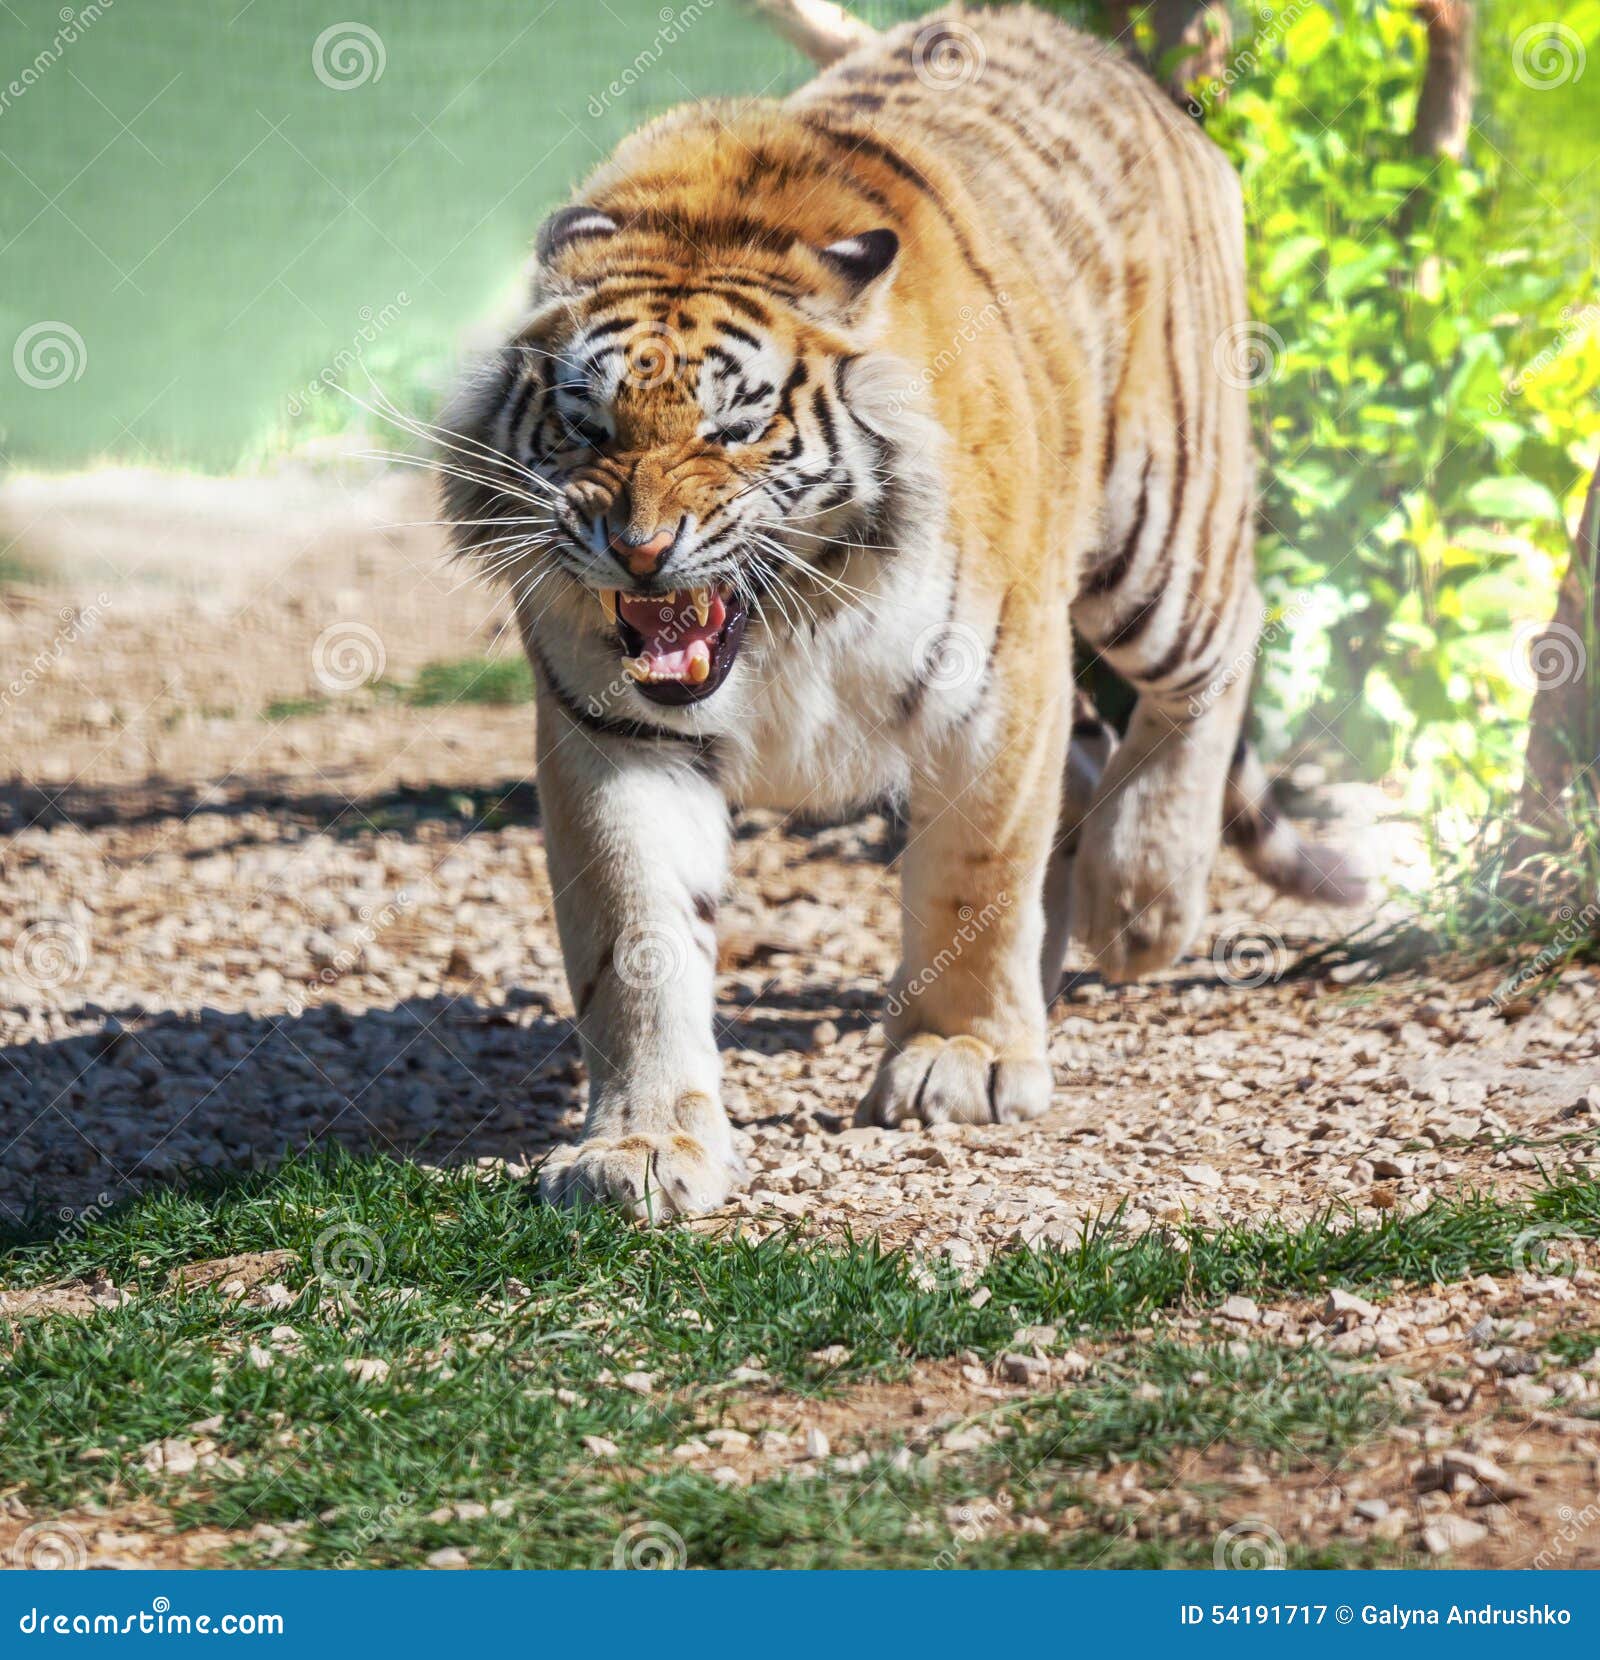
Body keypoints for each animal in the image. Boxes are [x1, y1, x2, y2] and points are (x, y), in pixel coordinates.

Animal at [441, 0, 1364, 1218]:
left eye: (732, 430)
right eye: (587, 426)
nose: (638, 550)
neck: (786, 617)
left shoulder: (996, 688)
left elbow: (975, 879)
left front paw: (960, 1059)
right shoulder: (614, 730)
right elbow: (636, 941)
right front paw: (640, 1145)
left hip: (1161, 526)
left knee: (1227, 637)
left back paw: (1140, 903)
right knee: (1085, 769)